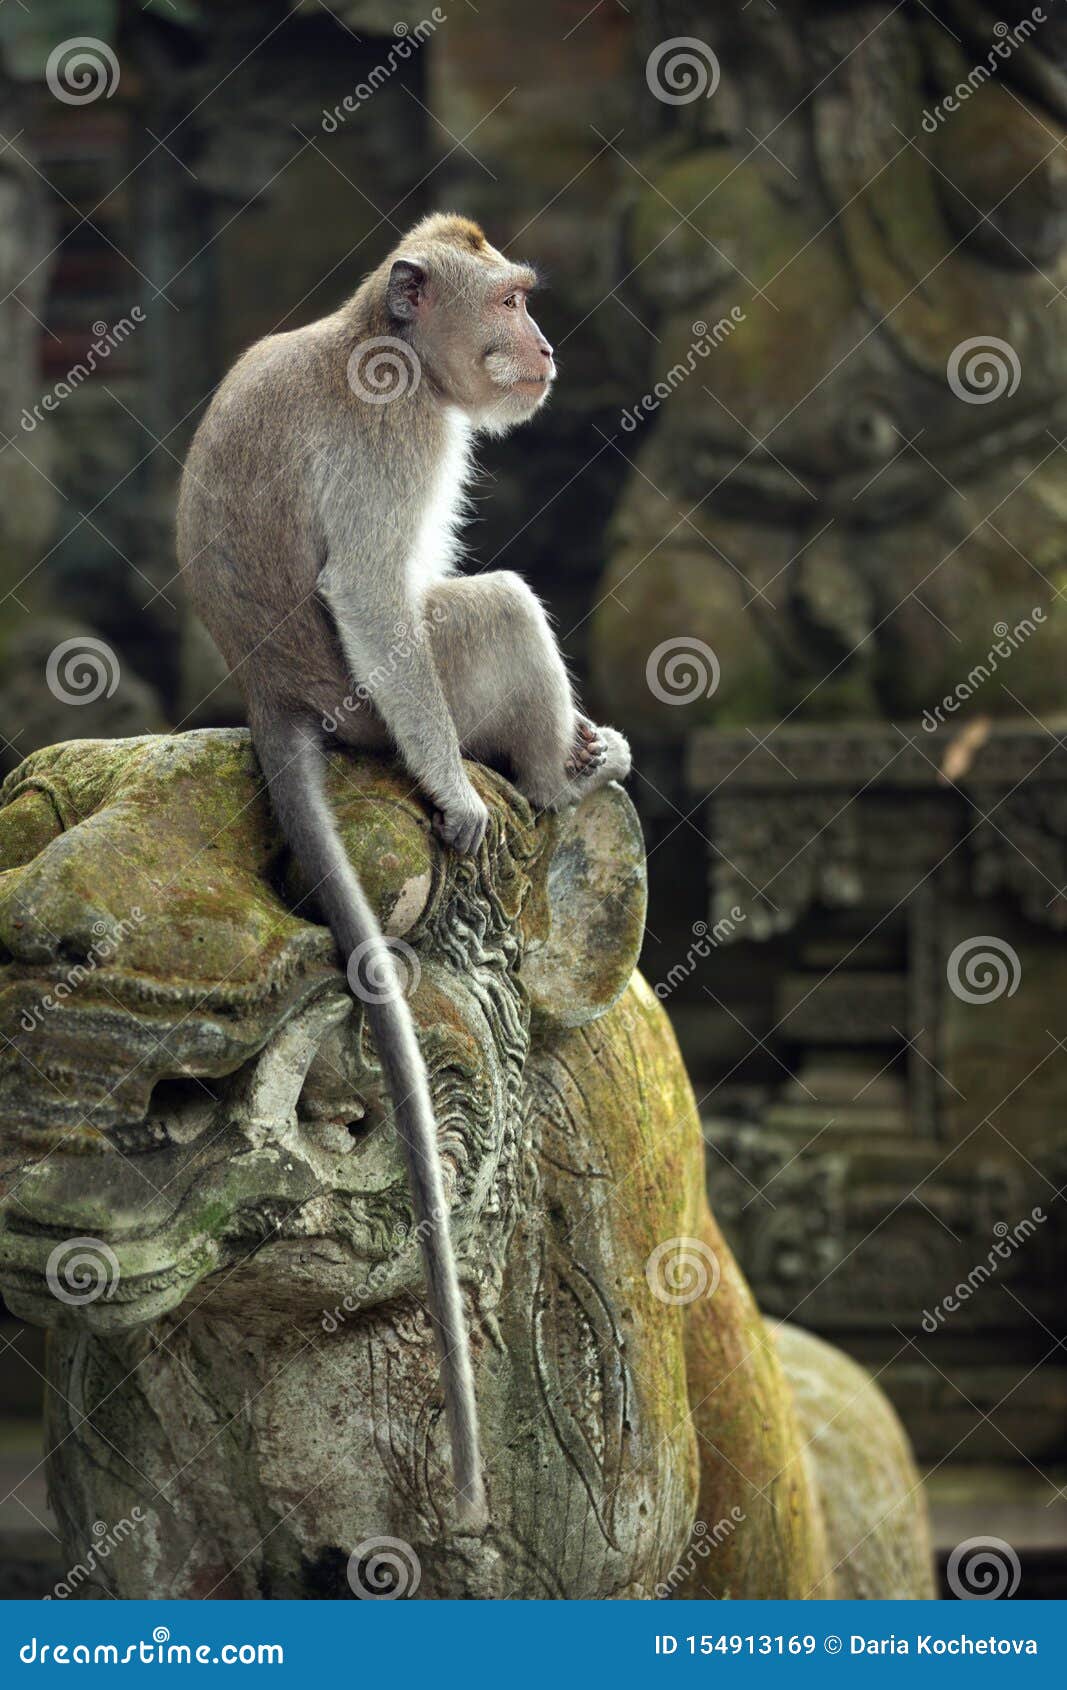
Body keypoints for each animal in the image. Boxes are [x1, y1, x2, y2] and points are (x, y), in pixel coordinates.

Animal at [176, 212, 631, 1531]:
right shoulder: (396, 429)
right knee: (486, 613)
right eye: (514, 301)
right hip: (381, 705)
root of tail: (272, 696)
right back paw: (554, 769)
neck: (384, 345)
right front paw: (458, 792)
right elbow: (376, 596)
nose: (544, 344)